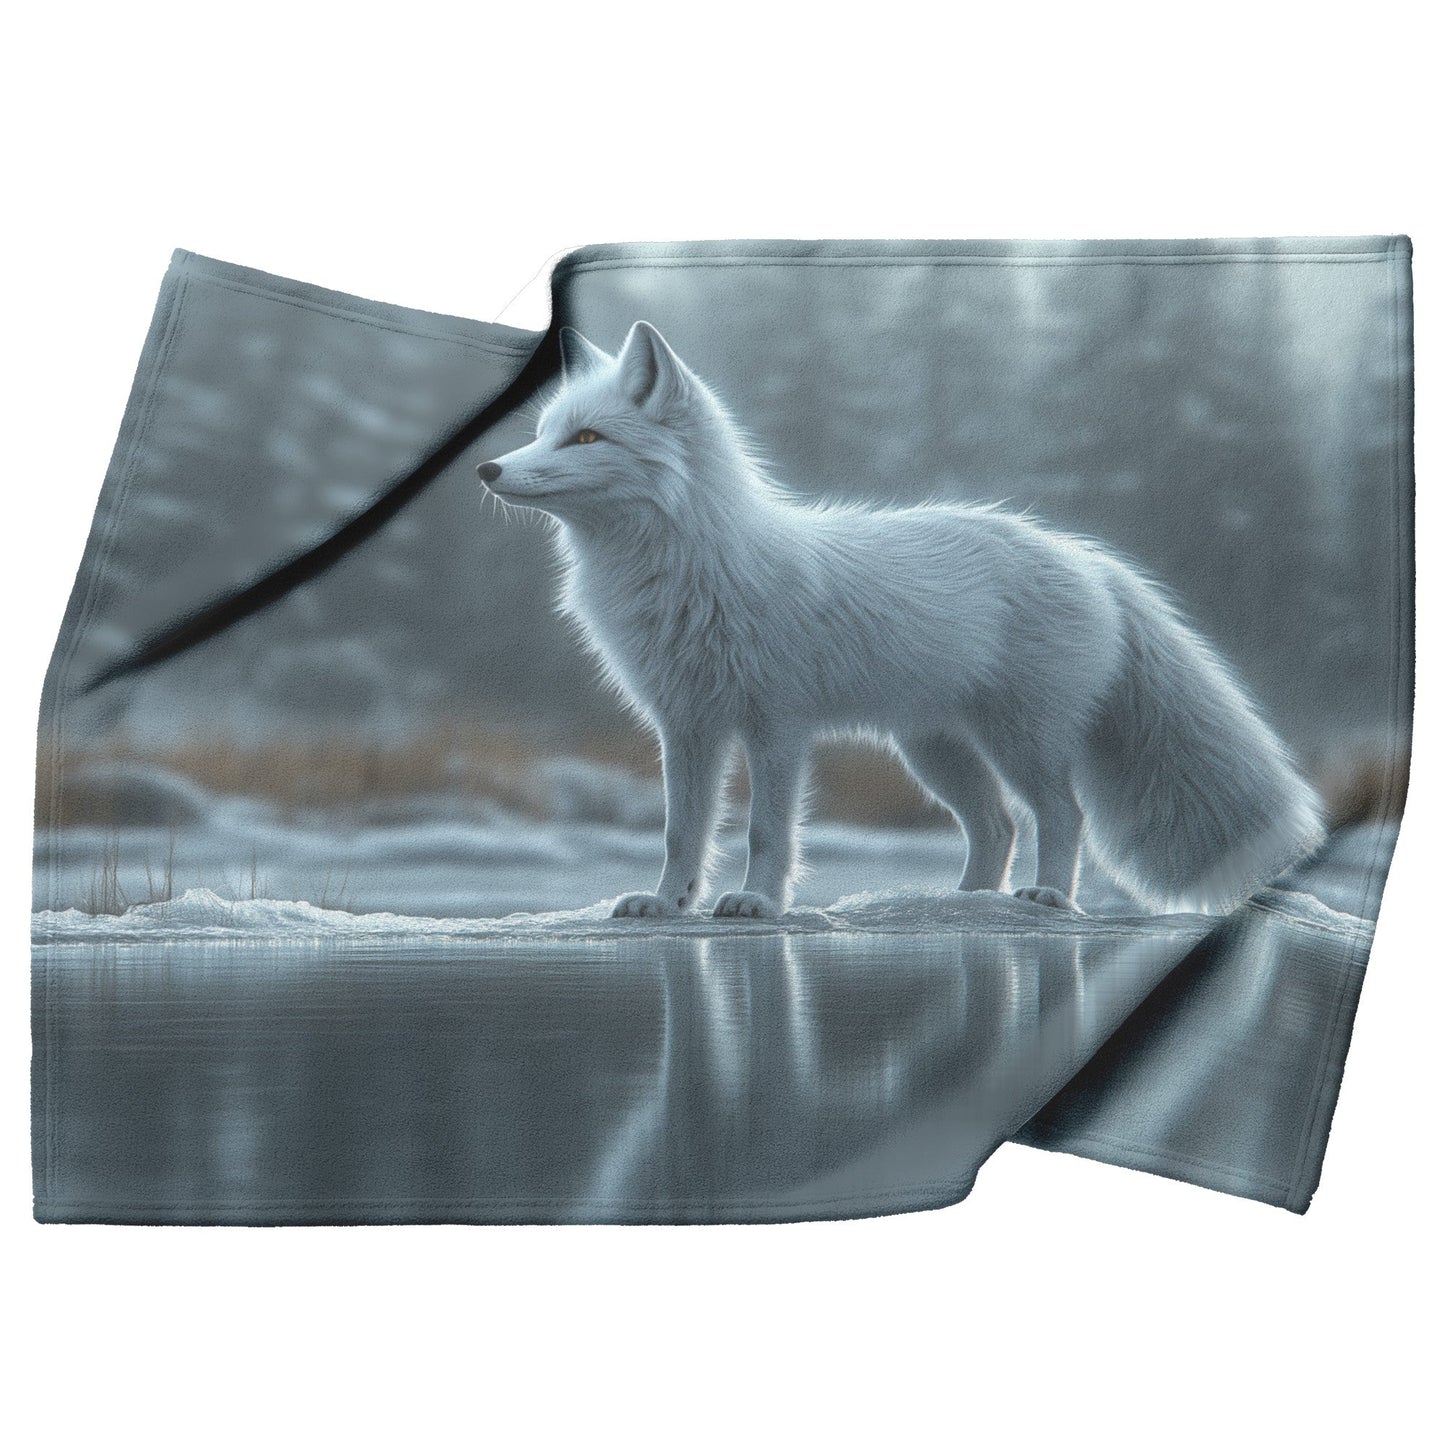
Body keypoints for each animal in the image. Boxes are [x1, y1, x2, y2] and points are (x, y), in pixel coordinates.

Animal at [475, 321, 1325, 919]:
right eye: (545, 431)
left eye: (587, 437)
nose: (487, 468)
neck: (691, 567)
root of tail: (1090, 558)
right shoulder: (686, 725)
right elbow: (681, 830)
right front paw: (666, 903)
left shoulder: (775, 724)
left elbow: (765, 830)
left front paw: (757, 903)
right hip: (934, 749)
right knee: (996, 826)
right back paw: (964, 903)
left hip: (1019, 738)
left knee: (1059, 815)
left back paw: (1046, 898)